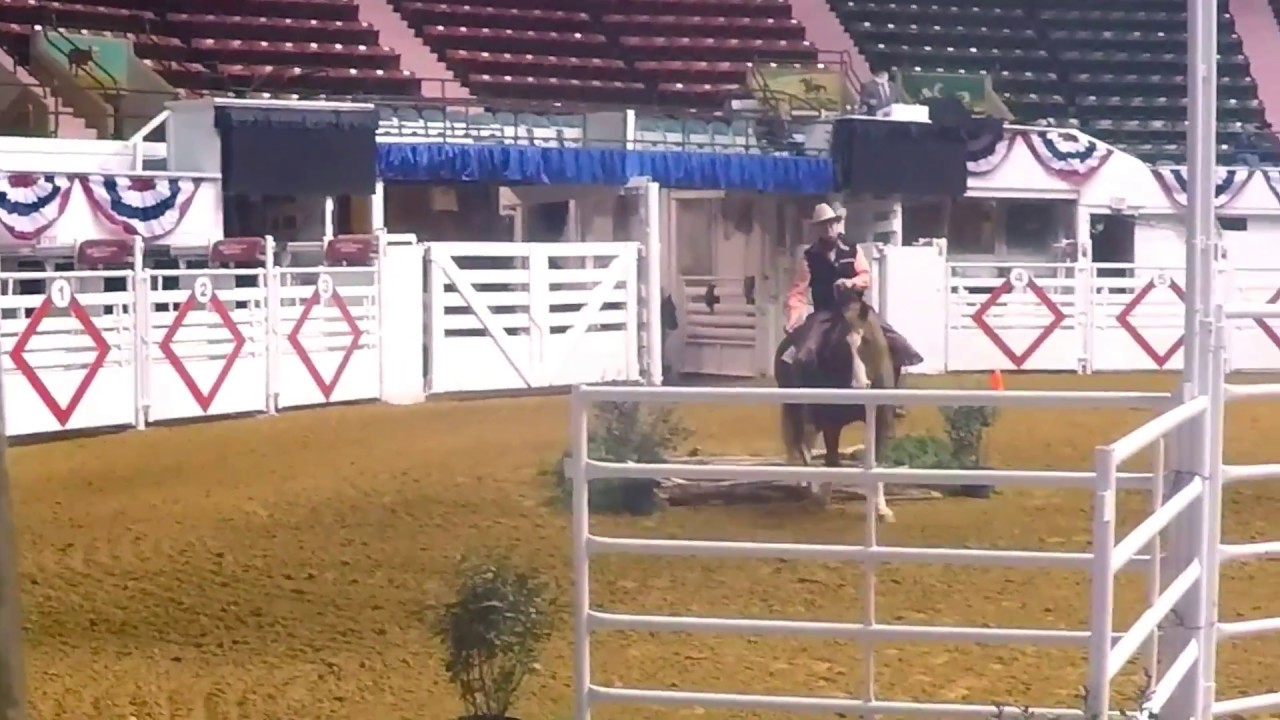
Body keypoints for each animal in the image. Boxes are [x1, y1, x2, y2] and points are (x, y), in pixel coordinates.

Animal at [775, 286, 897, 521]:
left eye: (867, 340)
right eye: (840, 345)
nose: (860, 386)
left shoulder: (880, 420)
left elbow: (875, 461)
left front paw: (882, 509)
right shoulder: (831, 422)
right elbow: (832, 459)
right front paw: (824, 499)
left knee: (806, 443)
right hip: (795, 408)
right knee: (798, 445)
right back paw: (805, 485)